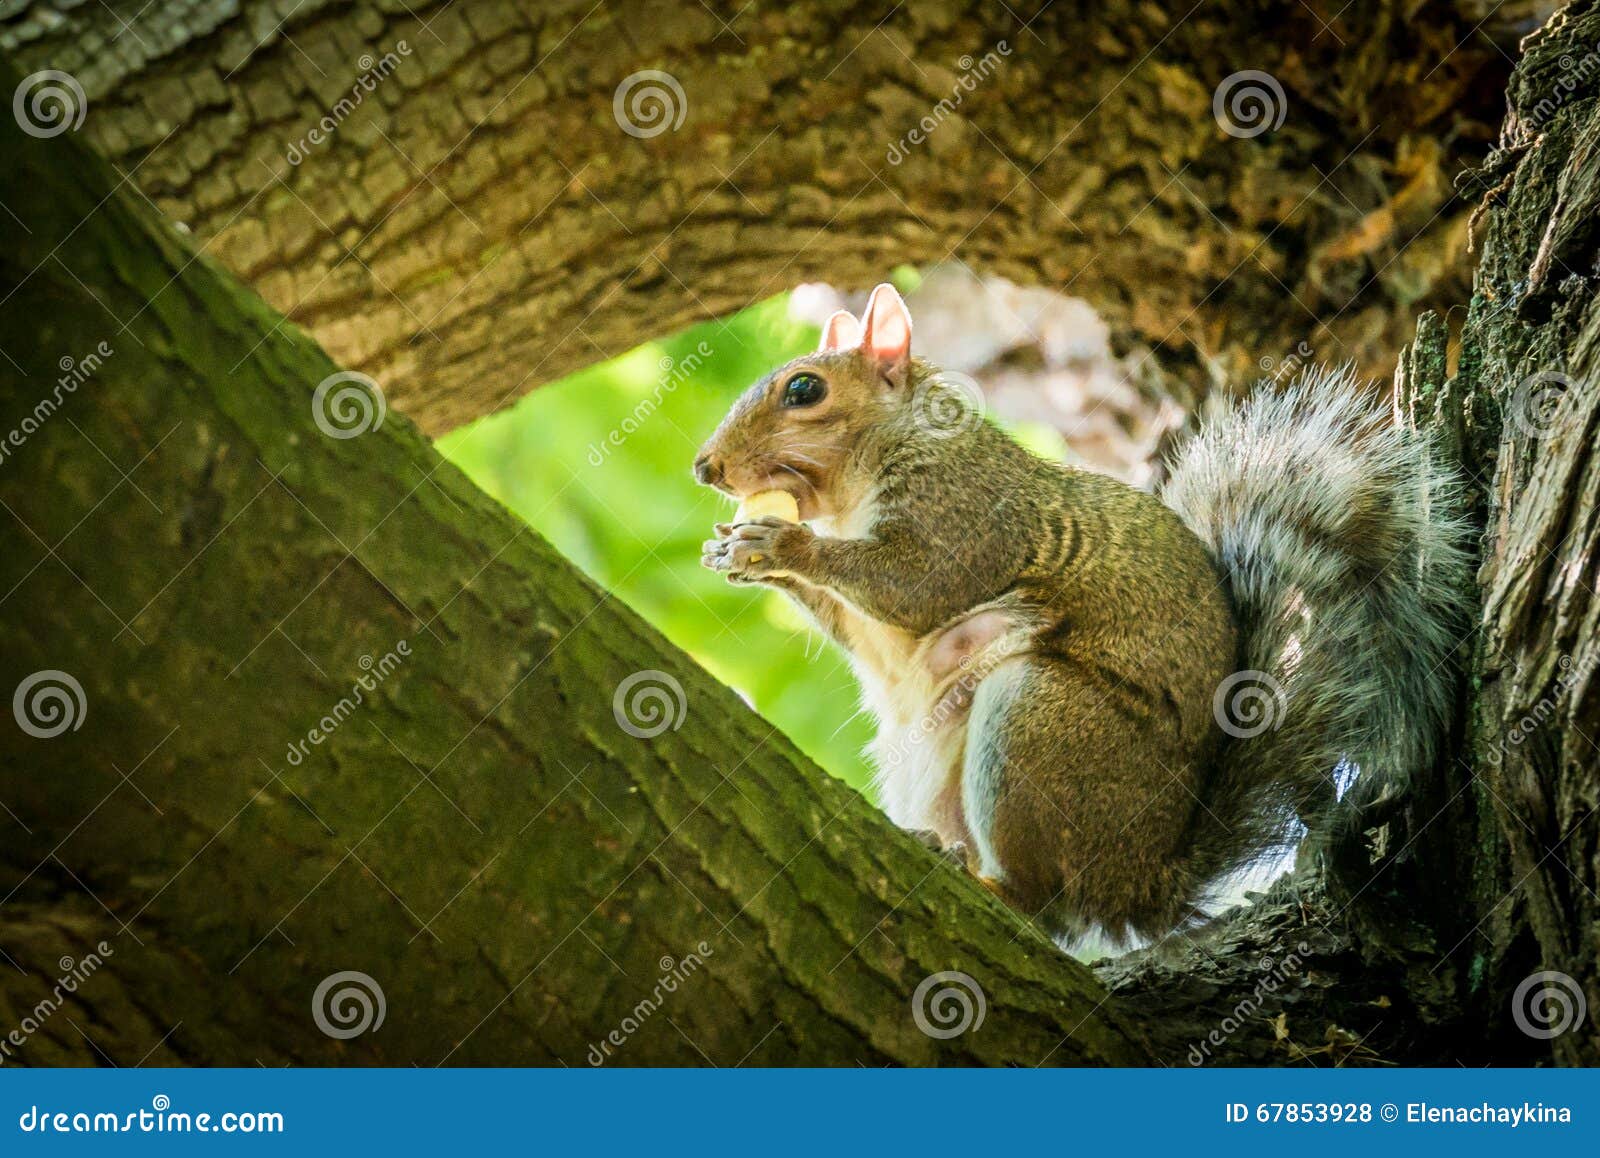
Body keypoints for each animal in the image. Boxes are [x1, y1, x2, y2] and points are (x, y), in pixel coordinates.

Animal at [696, 283, 1473, 944]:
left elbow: (917, 586)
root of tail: (1142, 883)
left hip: (1042, 722)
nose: (706, 468)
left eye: (804, 389)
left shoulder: (968, 513)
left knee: (1044, 903)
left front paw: (784, 544)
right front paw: (736, 548)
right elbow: (858, 627)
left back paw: (994, 883)